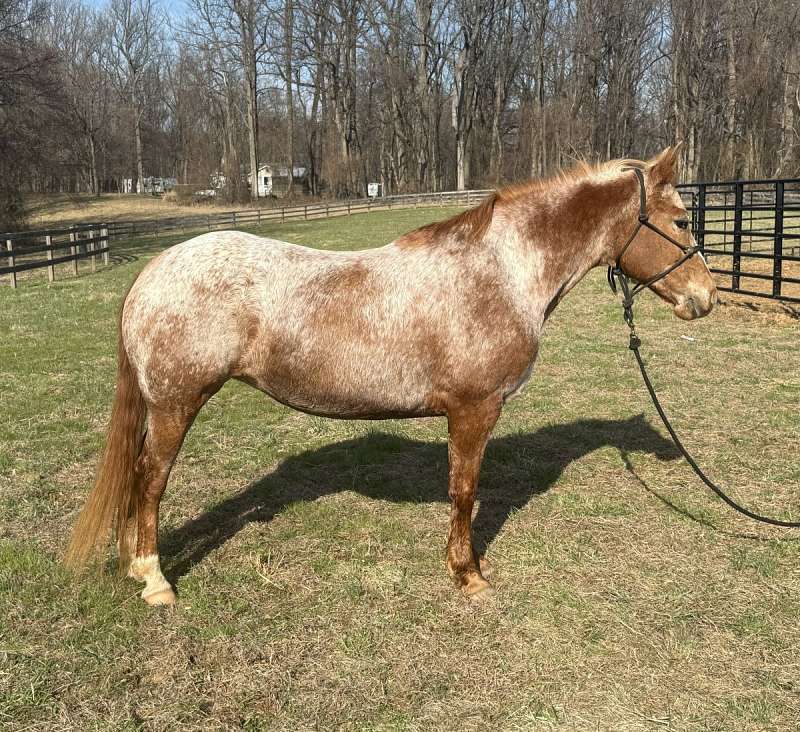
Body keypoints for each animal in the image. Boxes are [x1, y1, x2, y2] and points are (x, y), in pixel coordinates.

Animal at [65, 145, 717, 605]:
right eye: (684, 221)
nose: (706, 298)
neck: (500, 273)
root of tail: (155, 268)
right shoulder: (474, 409)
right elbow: (463, 491)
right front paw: (468, 576)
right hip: (176, 404)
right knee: (150, 480)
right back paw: (154, 579)